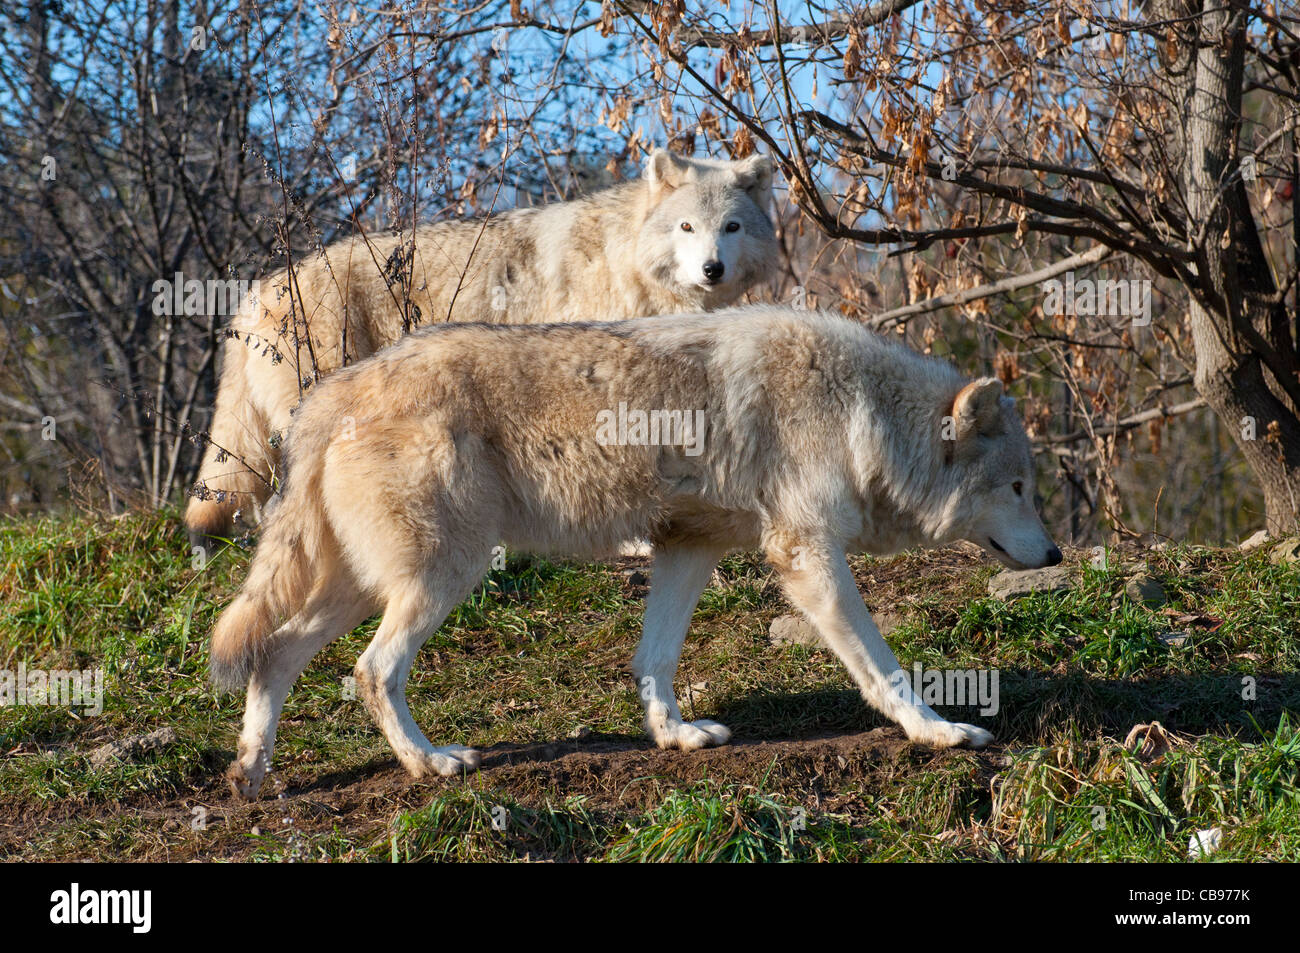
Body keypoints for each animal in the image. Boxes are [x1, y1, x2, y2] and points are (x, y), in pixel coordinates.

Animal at [209, 305, 1062, 798]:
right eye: (1019, 487)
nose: (1055, 554)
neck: (863, 413)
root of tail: (329, 392)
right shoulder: (806, 555)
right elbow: (883, 667)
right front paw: (938, 732)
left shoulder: (688, 545)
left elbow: (654, 658)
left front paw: (674, 736)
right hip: (443, 574)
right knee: (370, 669)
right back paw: (430, 763)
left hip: (366, 584)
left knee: (274, 652)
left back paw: (252, 772)